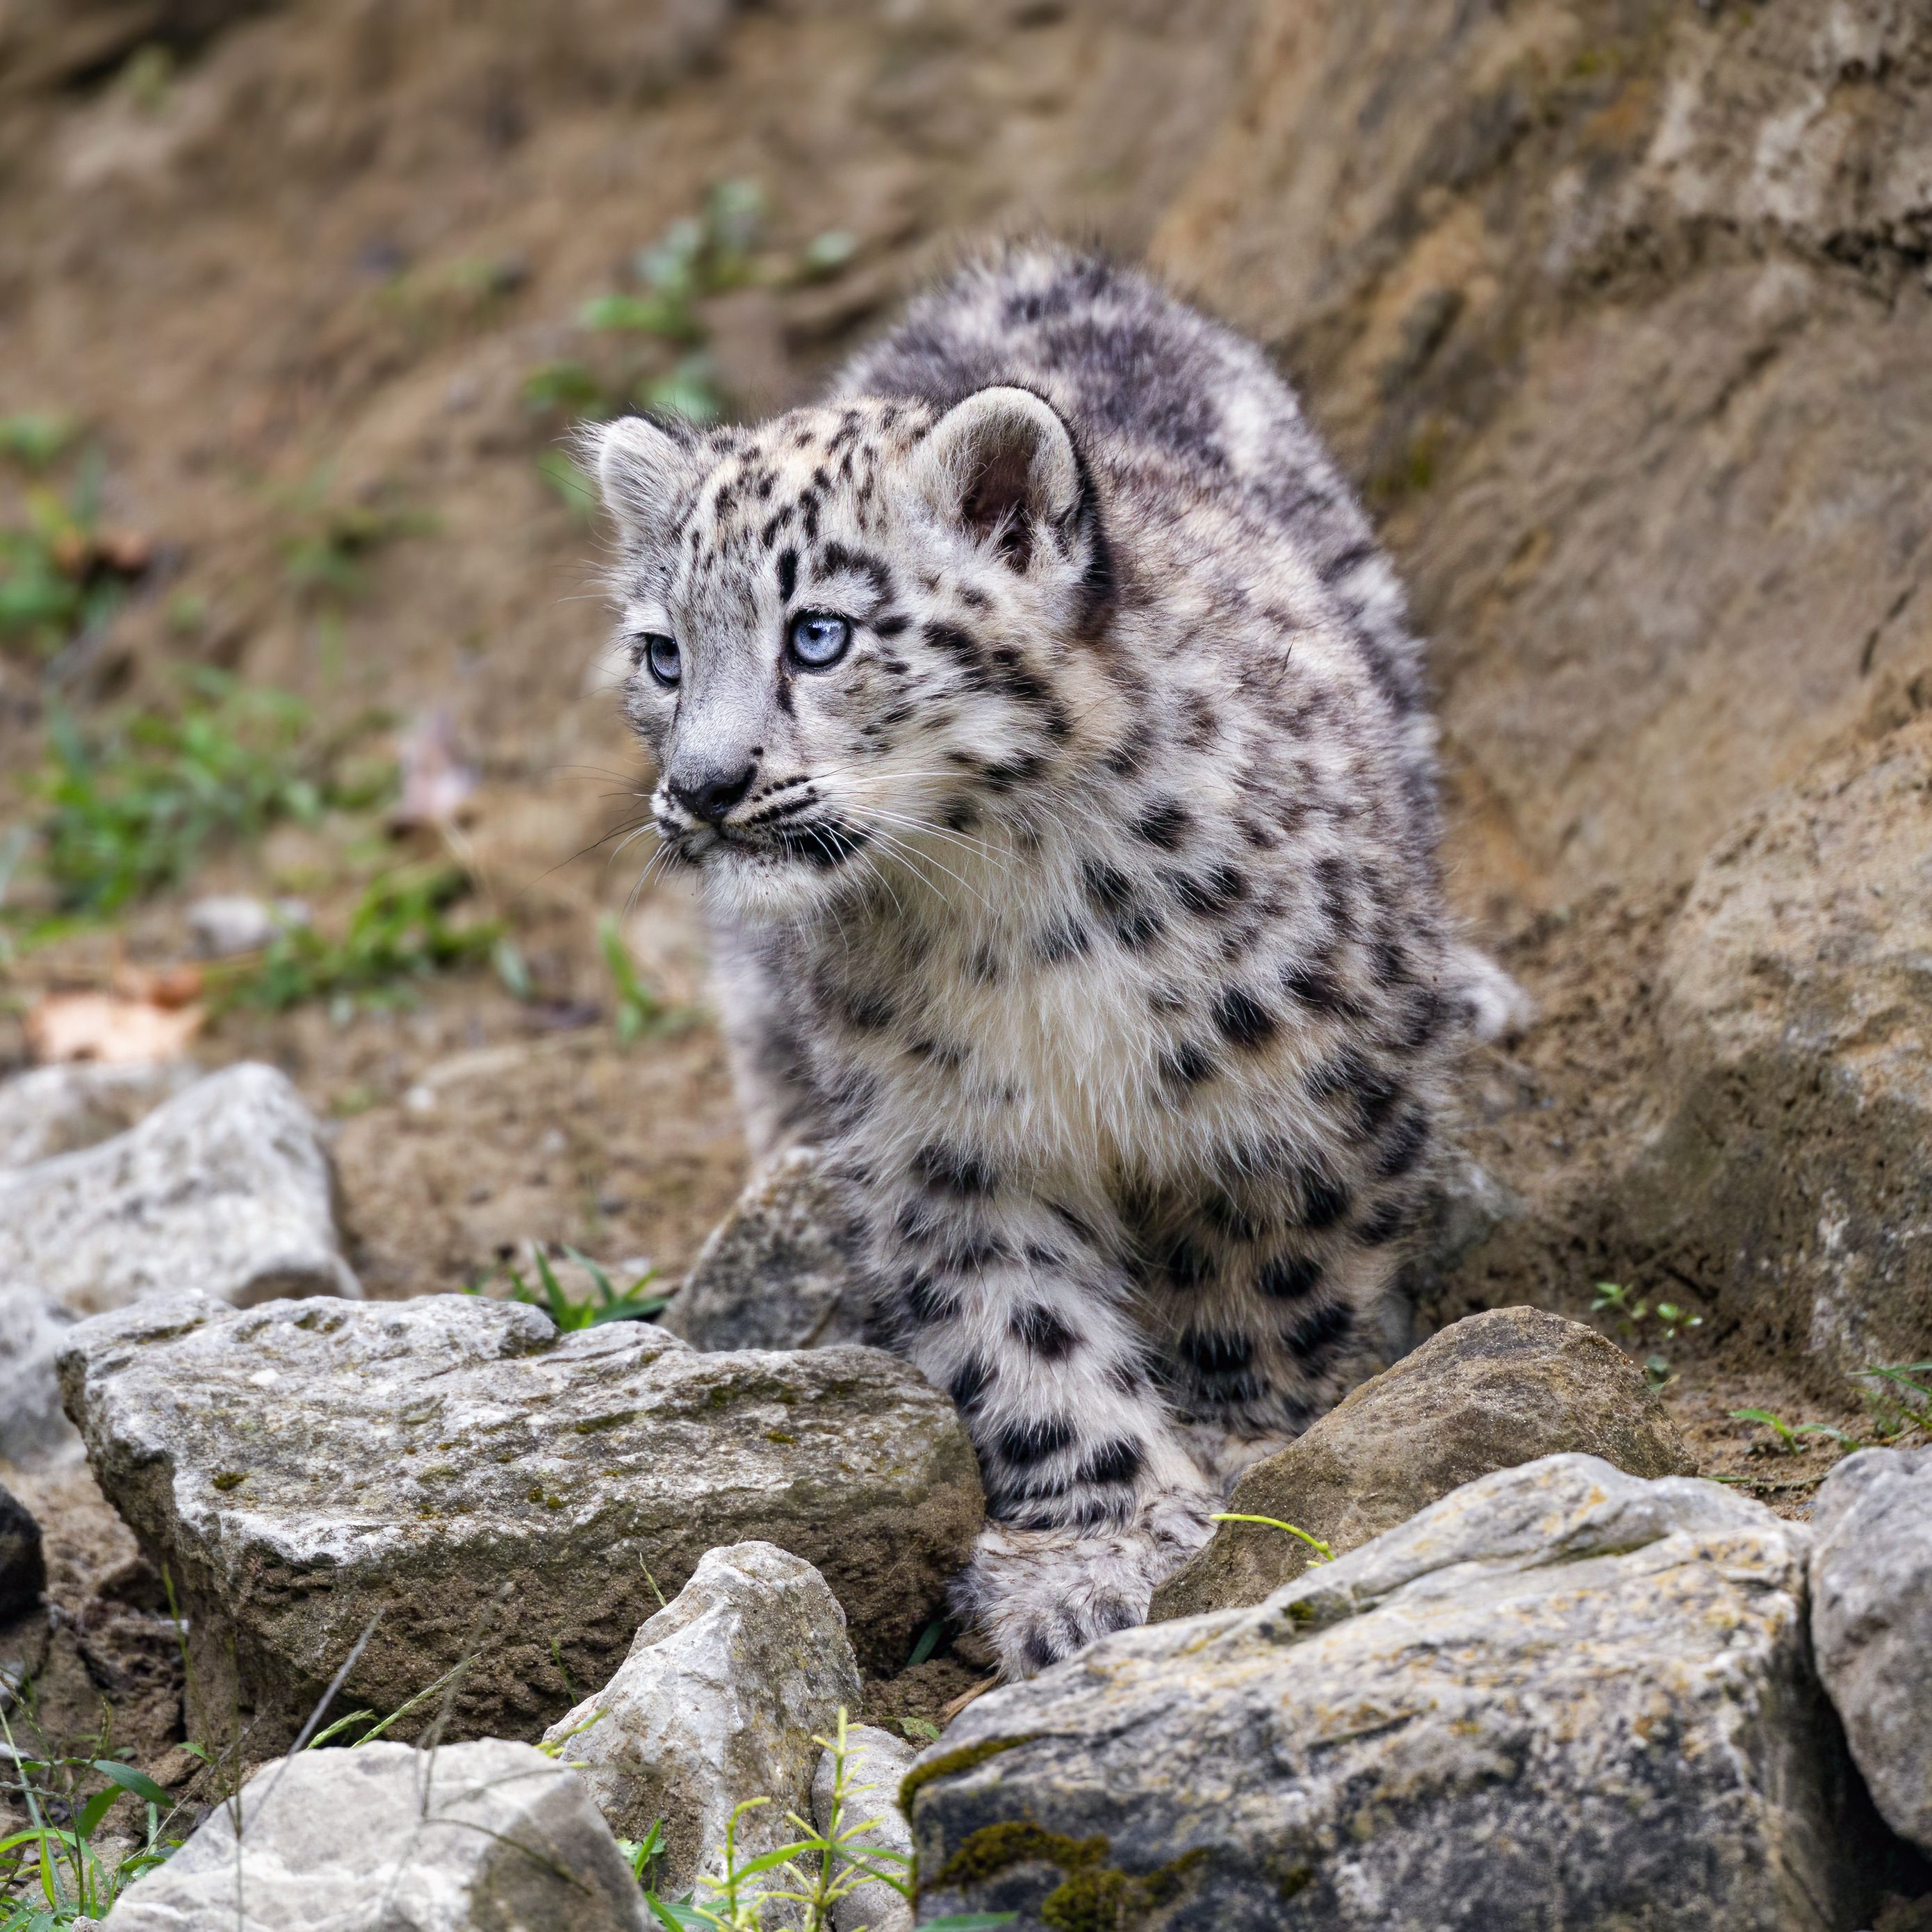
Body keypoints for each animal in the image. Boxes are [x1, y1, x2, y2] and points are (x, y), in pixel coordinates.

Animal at [588, 242, 1520, 1679]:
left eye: (819, 633)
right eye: (664, 654)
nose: (703, 786)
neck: (1007, 903)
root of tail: (1035, 266)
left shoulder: (1303, 1088)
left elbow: (1272, 1277)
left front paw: (1238, 1442)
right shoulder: (945, 1141)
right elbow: (1027, 1342)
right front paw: (1092, 1554)